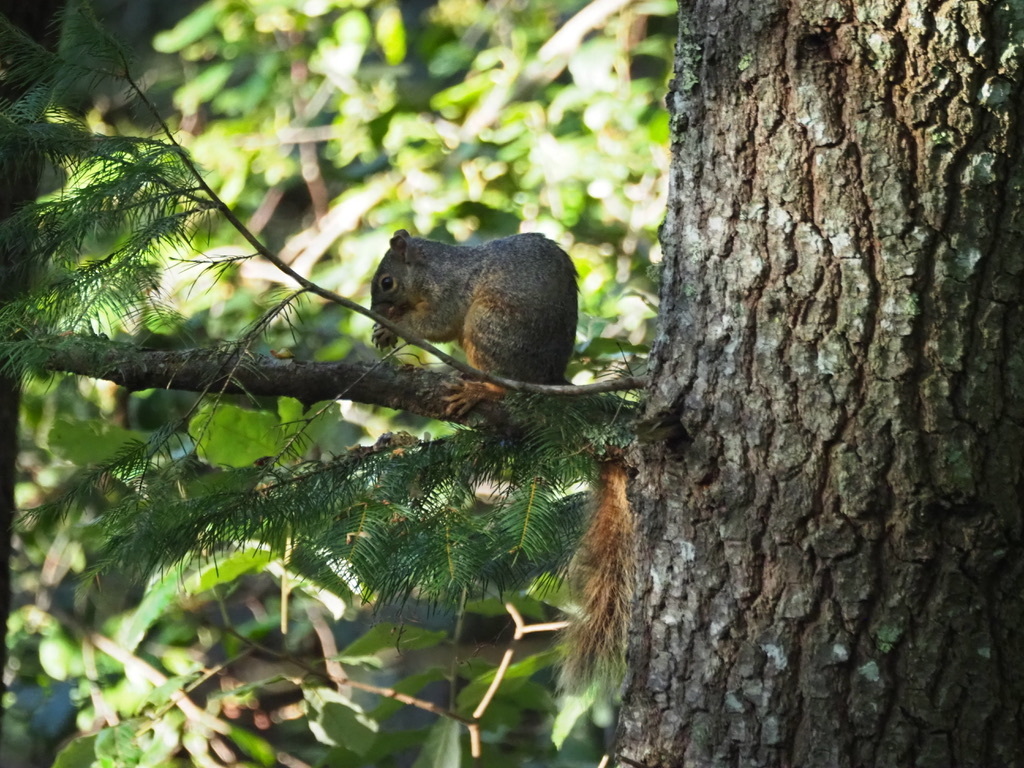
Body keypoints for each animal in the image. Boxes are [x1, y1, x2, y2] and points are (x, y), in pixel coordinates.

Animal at [369, 228, 635, 694]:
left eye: (387, 282)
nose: (373, 309)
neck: (433, 267)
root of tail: (550, 377)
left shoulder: (450, 293)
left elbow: (434, 325)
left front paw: (393, 327)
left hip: (490, 326)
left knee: (505, 387)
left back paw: (479, 389)